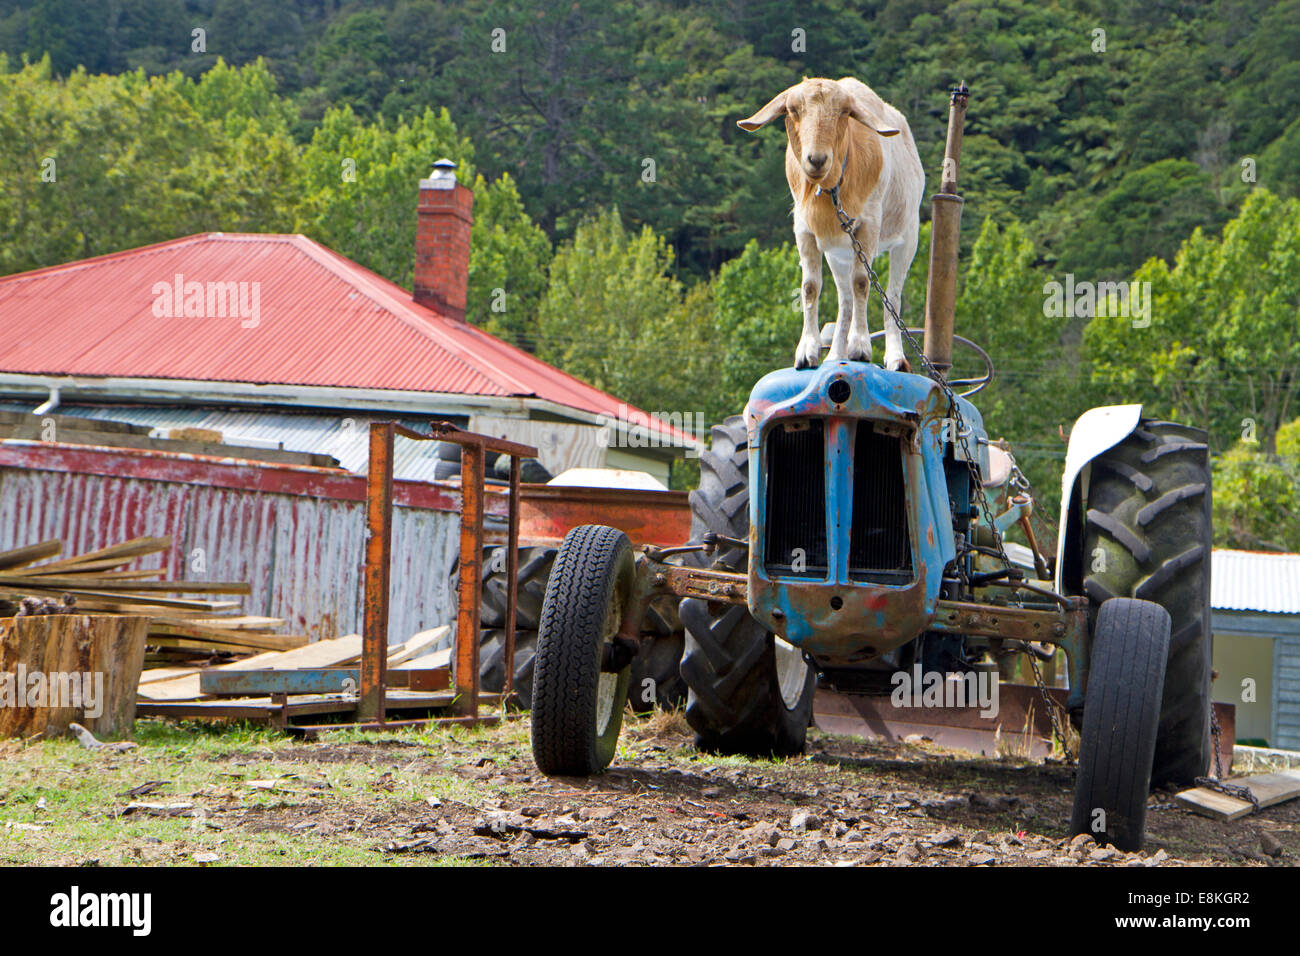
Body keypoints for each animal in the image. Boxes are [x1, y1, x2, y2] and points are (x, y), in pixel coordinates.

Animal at [739, 77, 925, 371]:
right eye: (793, 110)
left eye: (844, 112)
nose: (816, 159)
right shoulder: (804, 229)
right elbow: (810, 286)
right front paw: (807, 352)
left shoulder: (868, 224)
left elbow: (862, 282)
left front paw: (860, 348)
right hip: (839, 253)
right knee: (845, 299)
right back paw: (836, 355)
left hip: (908, 236)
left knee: (893, 295)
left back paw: (896, 358)